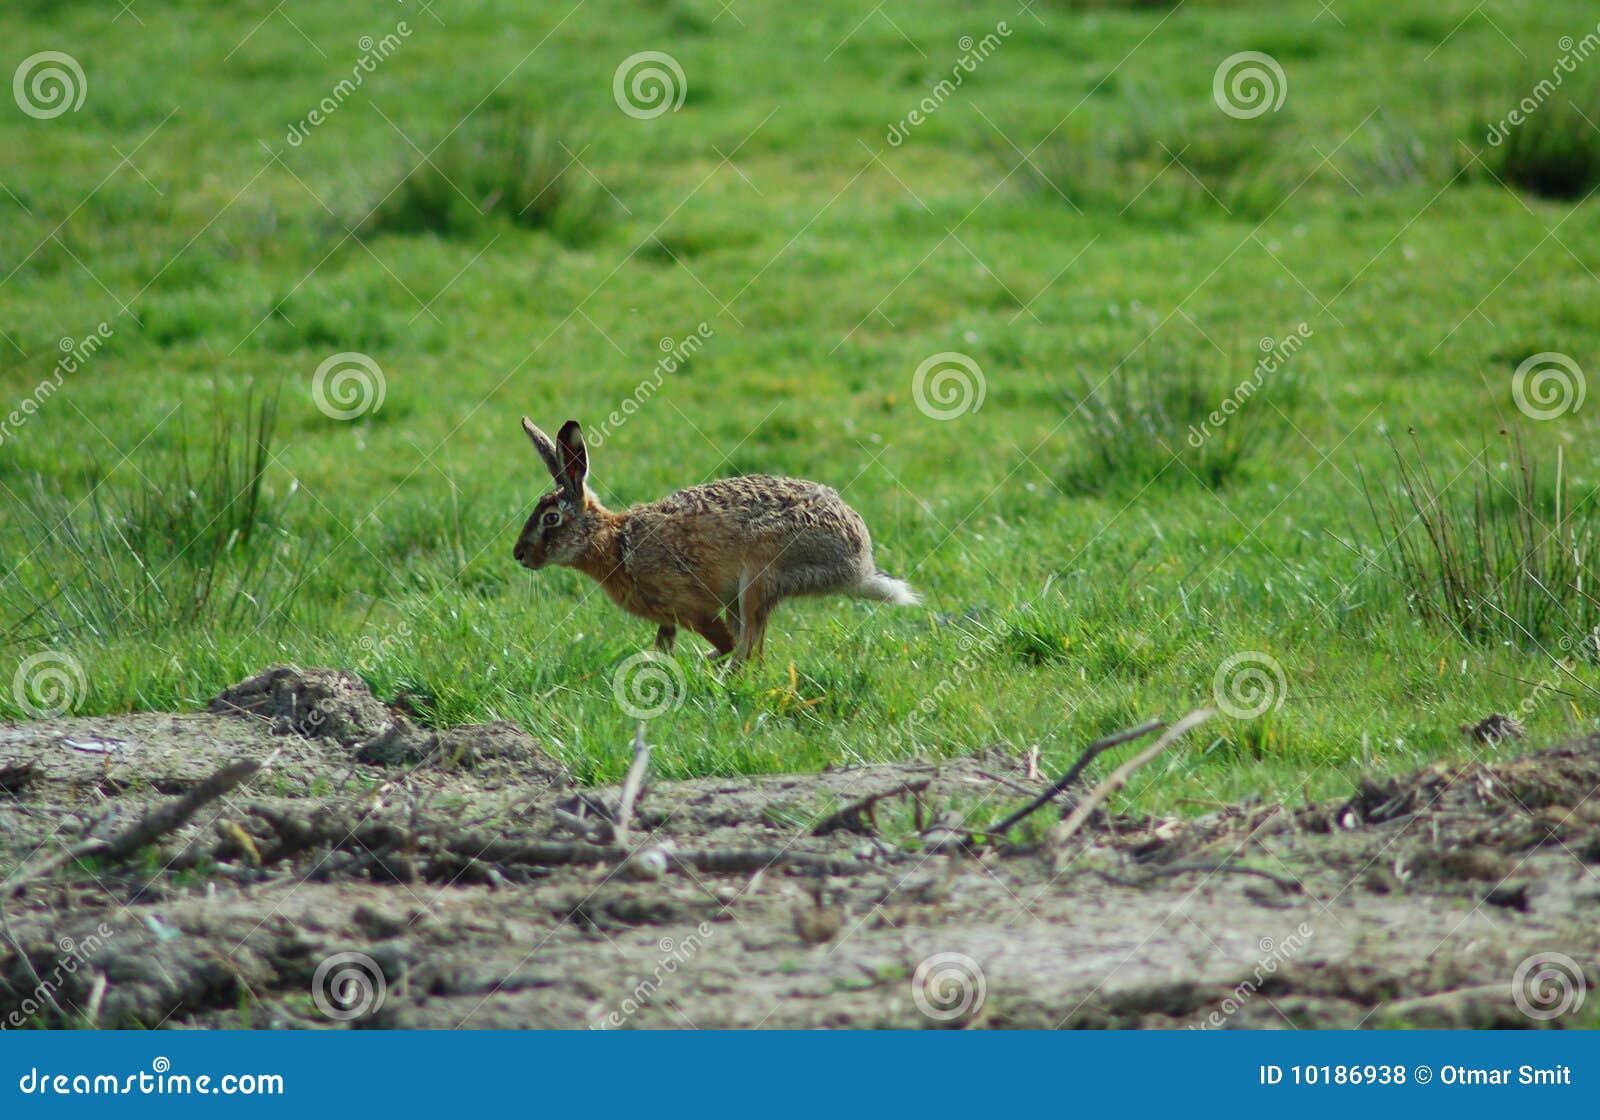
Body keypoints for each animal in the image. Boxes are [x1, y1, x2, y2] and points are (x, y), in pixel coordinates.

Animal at [513, 418, 919, 665]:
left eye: (551, 519)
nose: (519, 555)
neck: (616, 543)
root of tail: (859, 562)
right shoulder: (669, 619)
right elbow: (664, 643)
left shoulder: (695, 607)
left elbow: (723, 641)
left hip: (758, 576)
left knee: (748, 649)